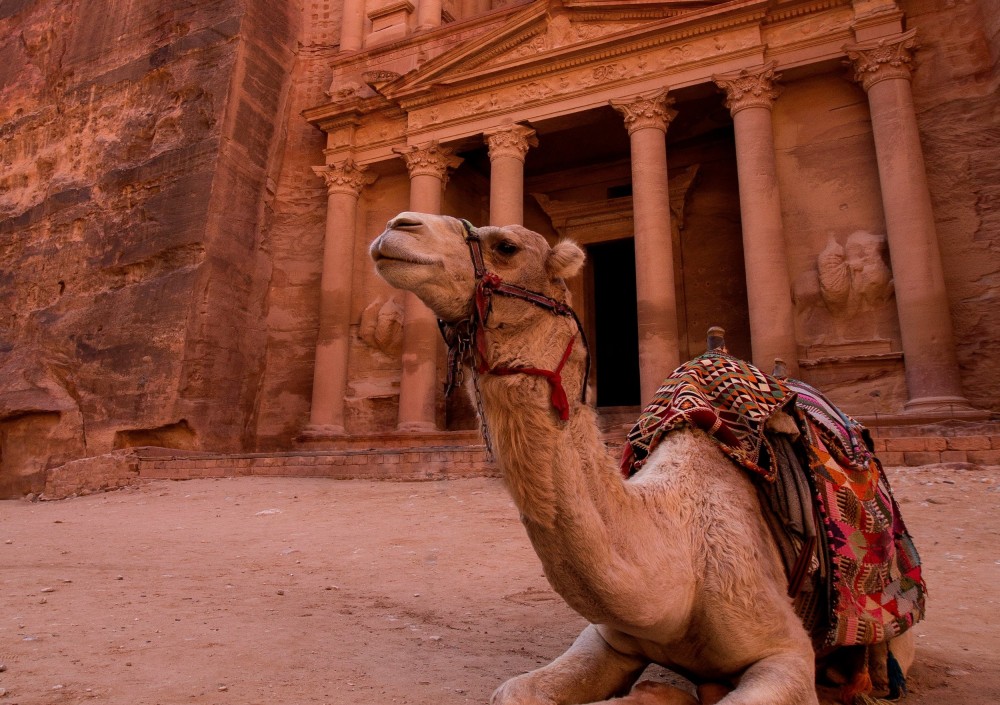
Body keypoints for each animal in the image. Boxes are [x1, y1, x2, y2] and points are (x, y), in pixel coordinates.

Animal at [369, 212, 915, 705]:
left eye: (506, 245)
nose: (397, 226)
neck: (680, 562)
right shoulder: (609, 636)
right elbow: (513, 692)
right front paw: (657, 690)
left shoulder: (785, 651)